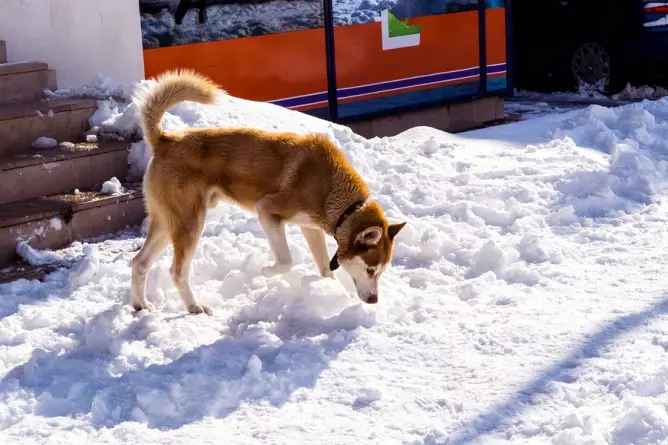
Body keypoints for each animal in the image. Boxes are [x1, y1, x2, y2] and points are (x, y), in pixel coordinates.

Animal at [129, 69, 404, 314]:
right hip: (190, 224)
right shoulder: (268, 210)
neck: (337, 196)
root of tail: (165, 140)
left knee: (139, 262)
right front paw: (267, 271)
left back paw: (141, 305)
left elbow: (326, 269)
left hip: (166, 223)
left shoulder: (310, 229)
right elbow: (286, 261)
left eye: (381, 271)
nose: (374, 301)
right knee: (176, 271)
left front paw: (326, 292)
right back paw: (194, 307)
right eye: (371, 270)